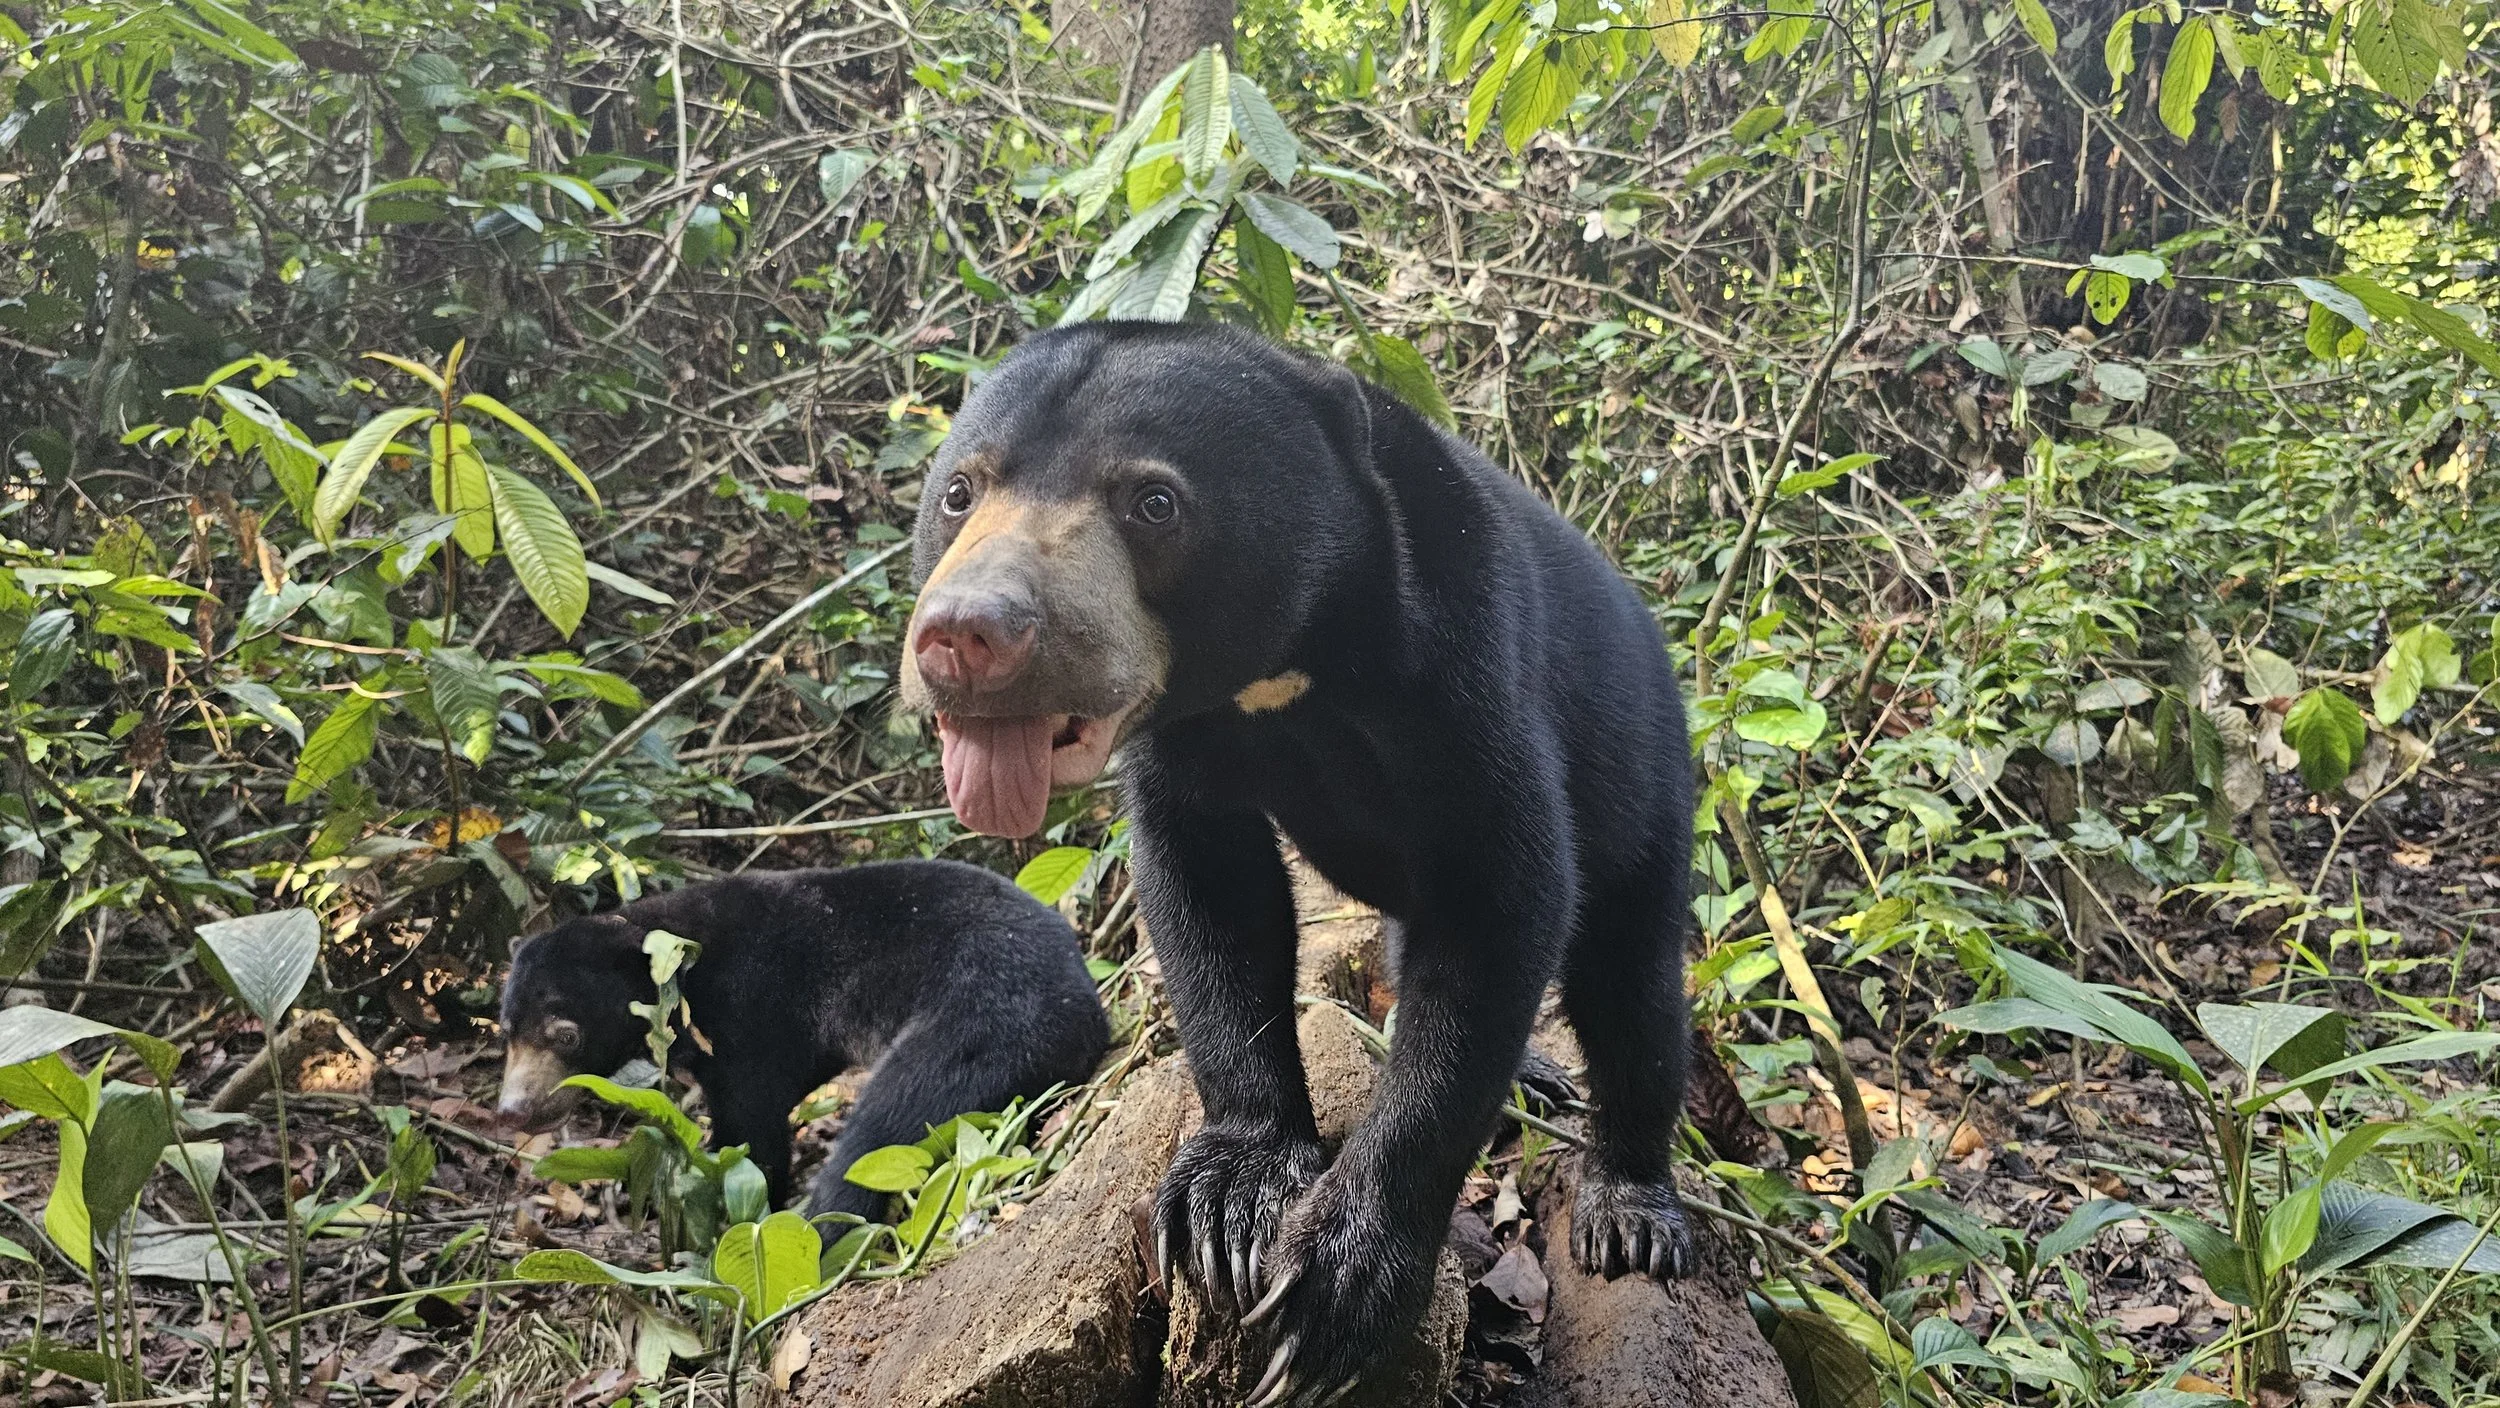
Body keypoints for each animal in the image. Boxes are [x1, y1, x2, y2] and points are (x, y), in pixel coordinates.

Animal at [495, 861, 1111, 1219]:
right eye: (508, 1031)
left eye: (566, 1035)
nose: (513, 1110)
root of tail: (1087, 1007)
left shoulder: (749, 1013)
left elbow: (753, 1121)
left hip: (979, 1017)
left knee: (893, 1117)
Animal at [897, 322, 1697, 1406]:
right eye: (959, 492)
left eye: (1154, 502)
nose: (967, 636)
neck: (1287, 668)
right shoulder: (1189, 748)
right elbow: (1209, 898)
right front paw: (1226, 1203)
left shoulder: (1467, 663)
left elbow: (1503, 900)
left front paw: (1336, 1289)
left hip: (1647, 769)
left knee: (1631, 979)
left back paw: (1631, 1207)